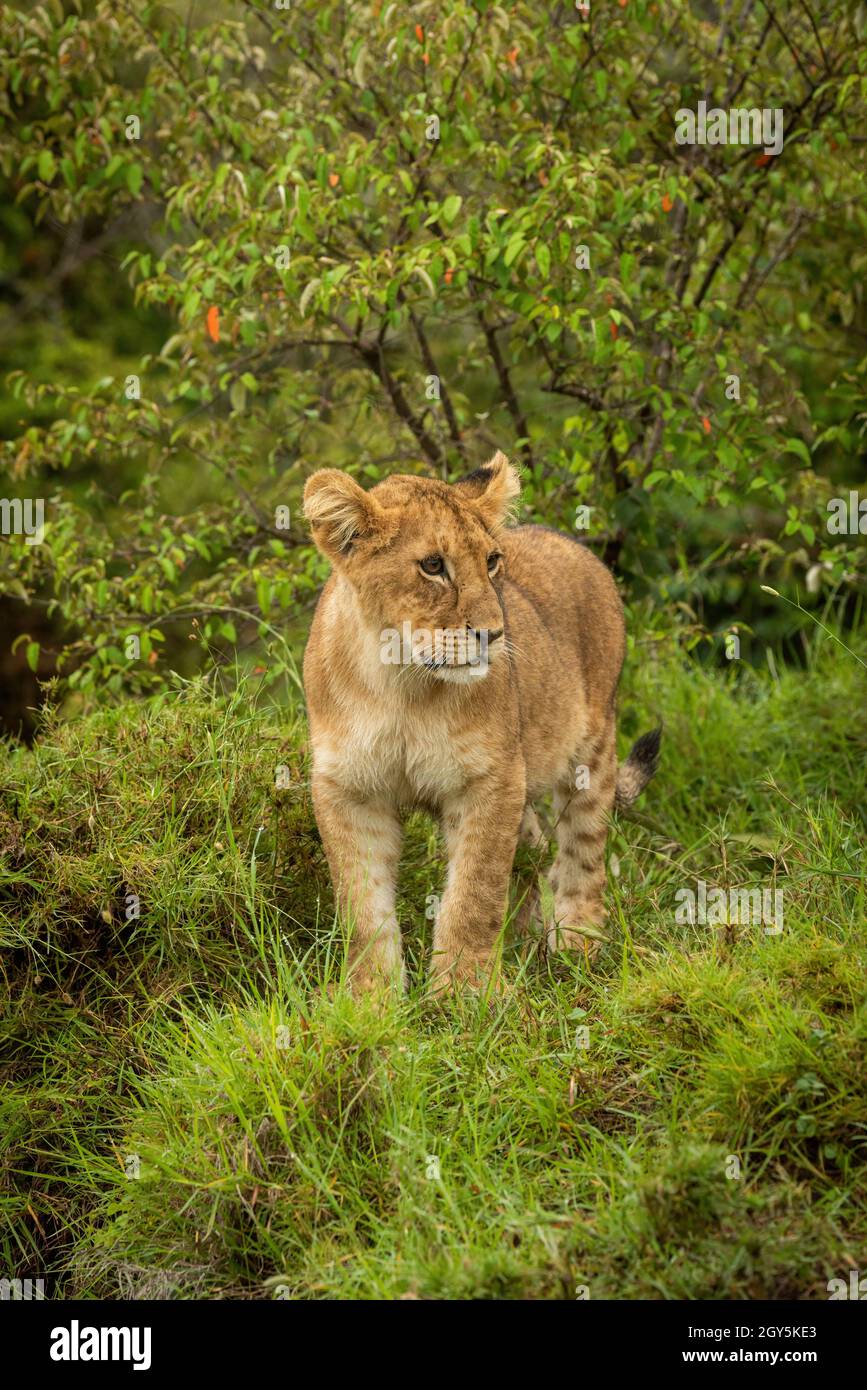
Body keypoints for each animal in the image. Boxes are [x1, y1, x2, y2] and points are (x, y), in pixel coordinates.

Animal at [302, 451, 660, 993]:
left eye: (491, 561)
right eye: (433, 566)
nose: (493, 634)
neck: (400, 685)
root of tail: (573, 545)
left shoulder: (492, 778)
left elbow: (475, 892)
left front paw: (464, 992)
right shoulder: (347, 788)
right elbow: (361, 905)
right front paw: (370, 998)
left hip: (592, 746)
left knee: (583, 849)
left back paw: (576, 945)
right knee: (533, 846)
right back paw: (523, 941)